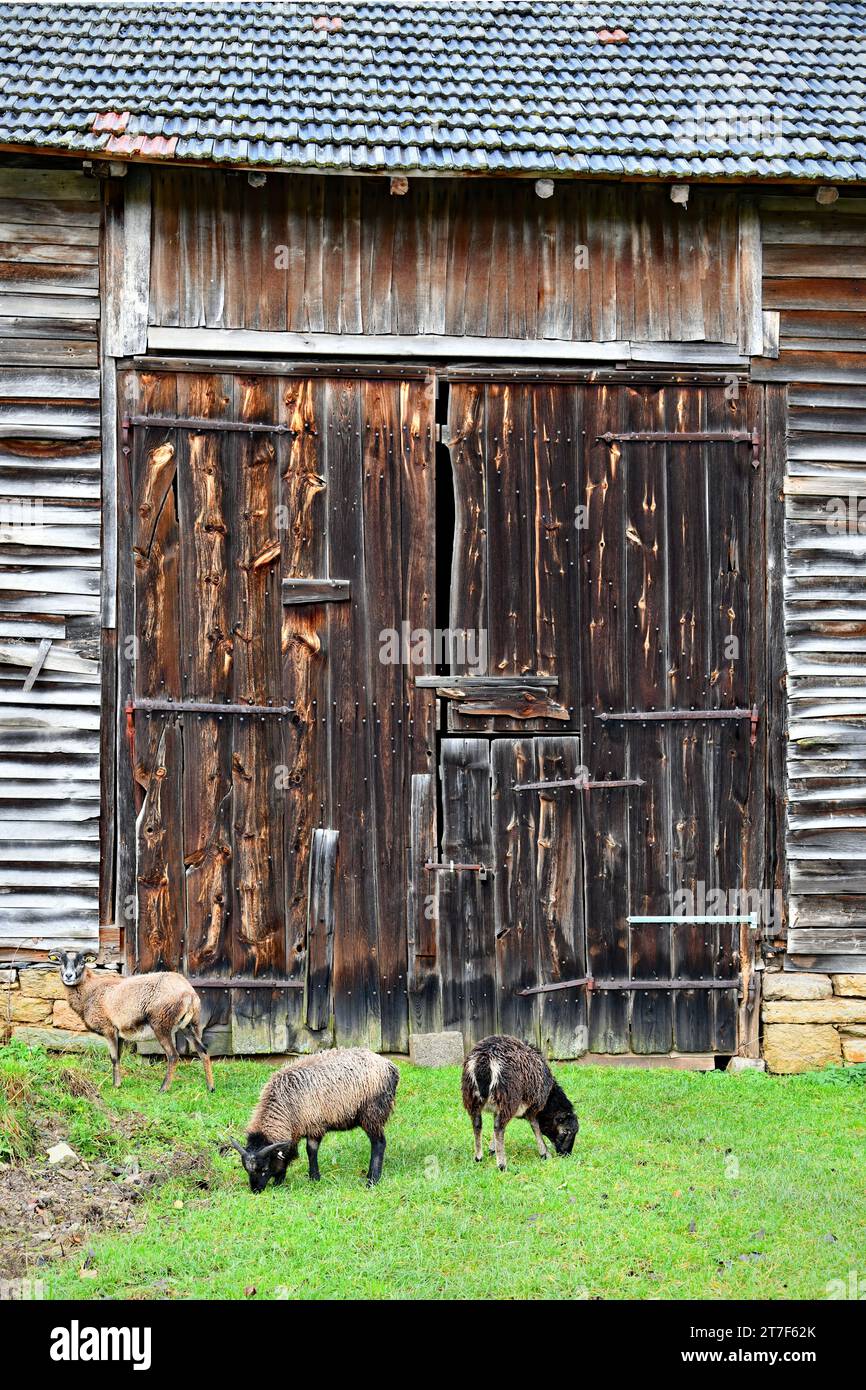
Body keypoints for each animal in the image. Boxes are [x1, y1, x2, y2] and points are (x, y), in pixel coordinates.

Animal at [48, 949, 214, 1094]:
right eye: (61, 962)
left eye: (82, 962)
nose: (68, 976)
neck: (91, 990)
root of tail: (190, 994)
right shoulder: (119, 1034)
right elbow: (119, 1057)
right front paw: (118, 1083)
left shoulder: (109, 1029)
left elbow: (114, 1058)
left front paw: (116, 1086)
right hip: (188, 1026)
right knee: (203, 1051)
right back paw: (210, 1088)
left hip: (161, 1025)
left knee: (173, 1056)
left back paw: (163, 1089)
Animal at [230, 1047, 399, 1191]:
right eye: (246, 1169)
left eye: (264, 1168)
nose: (255, 1191)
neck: (285, 1107)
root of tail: (389, 1066)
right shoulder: (296, 1129)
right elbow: (291, 1152)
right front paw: (282, 1180)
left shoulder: (314, 1125)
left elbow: (310, 1150)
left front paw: (314, 1178)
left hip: (372, 1113)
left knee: (379, 1143)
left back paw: (372, 1180)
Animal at [462, 1034, 578, 1171]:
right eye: (567, 1131)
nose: (566, 1154)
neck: (549, 1097)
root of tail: (484, 1060)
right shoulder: (534, 1106)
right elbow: (536, 1127)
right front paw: (545, 1153)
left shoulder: (497, 1109)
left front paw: (491, 1149)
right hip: (508, 1099)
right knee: (499, 1128)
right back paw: (502, 1165)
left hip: (472, 1098)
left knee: (478, 1125)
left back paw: (478, 1157)